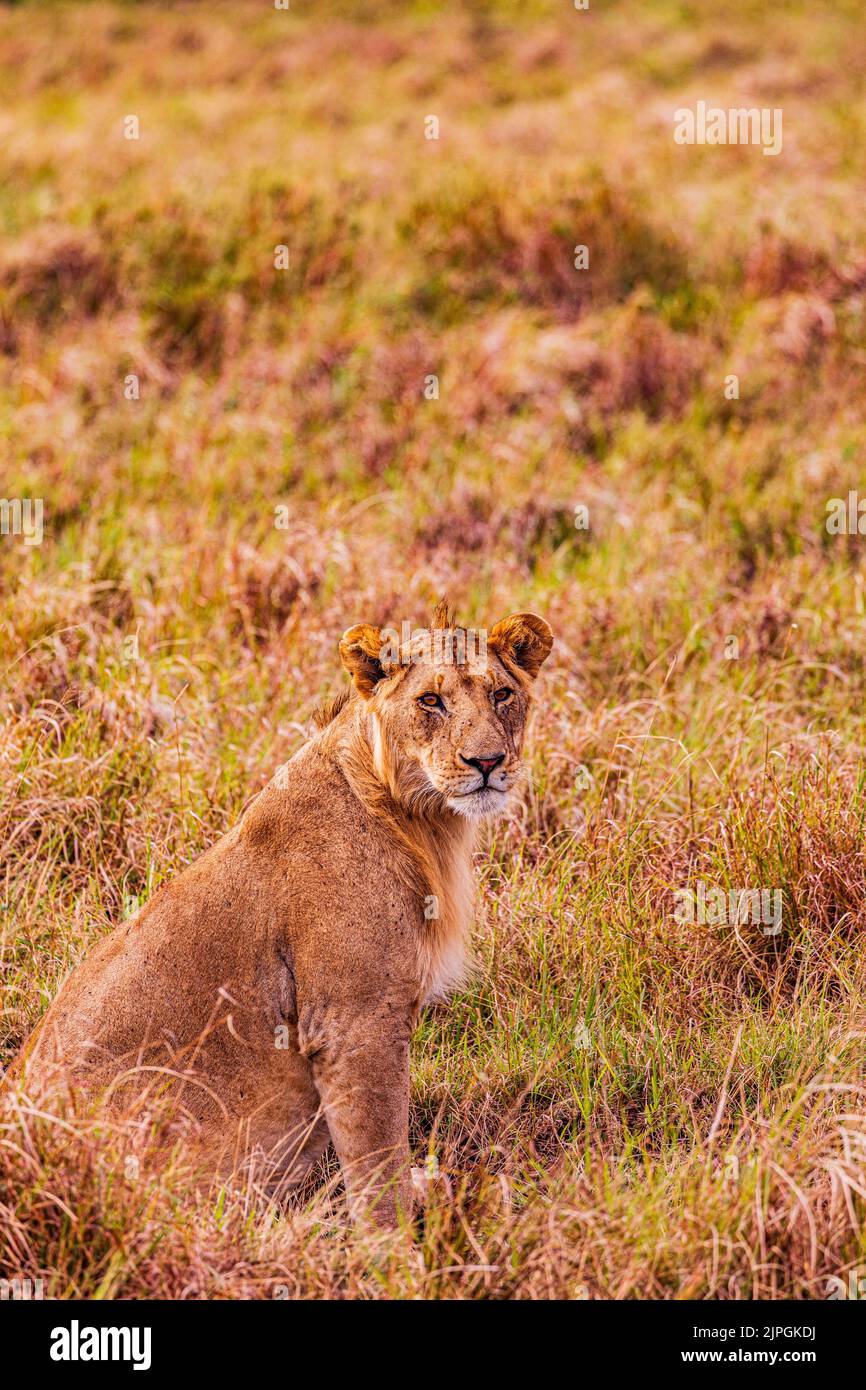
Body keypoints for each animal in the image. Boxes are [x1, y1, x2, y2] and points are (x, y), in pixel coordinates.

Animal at [12, 602, 553, 1225]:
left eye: (502, 694)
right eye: (431, 701)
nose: (487, 762)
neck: (421, 821)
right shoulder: (355, 1025)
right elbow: (377, 1166)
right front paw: (395, 1243)